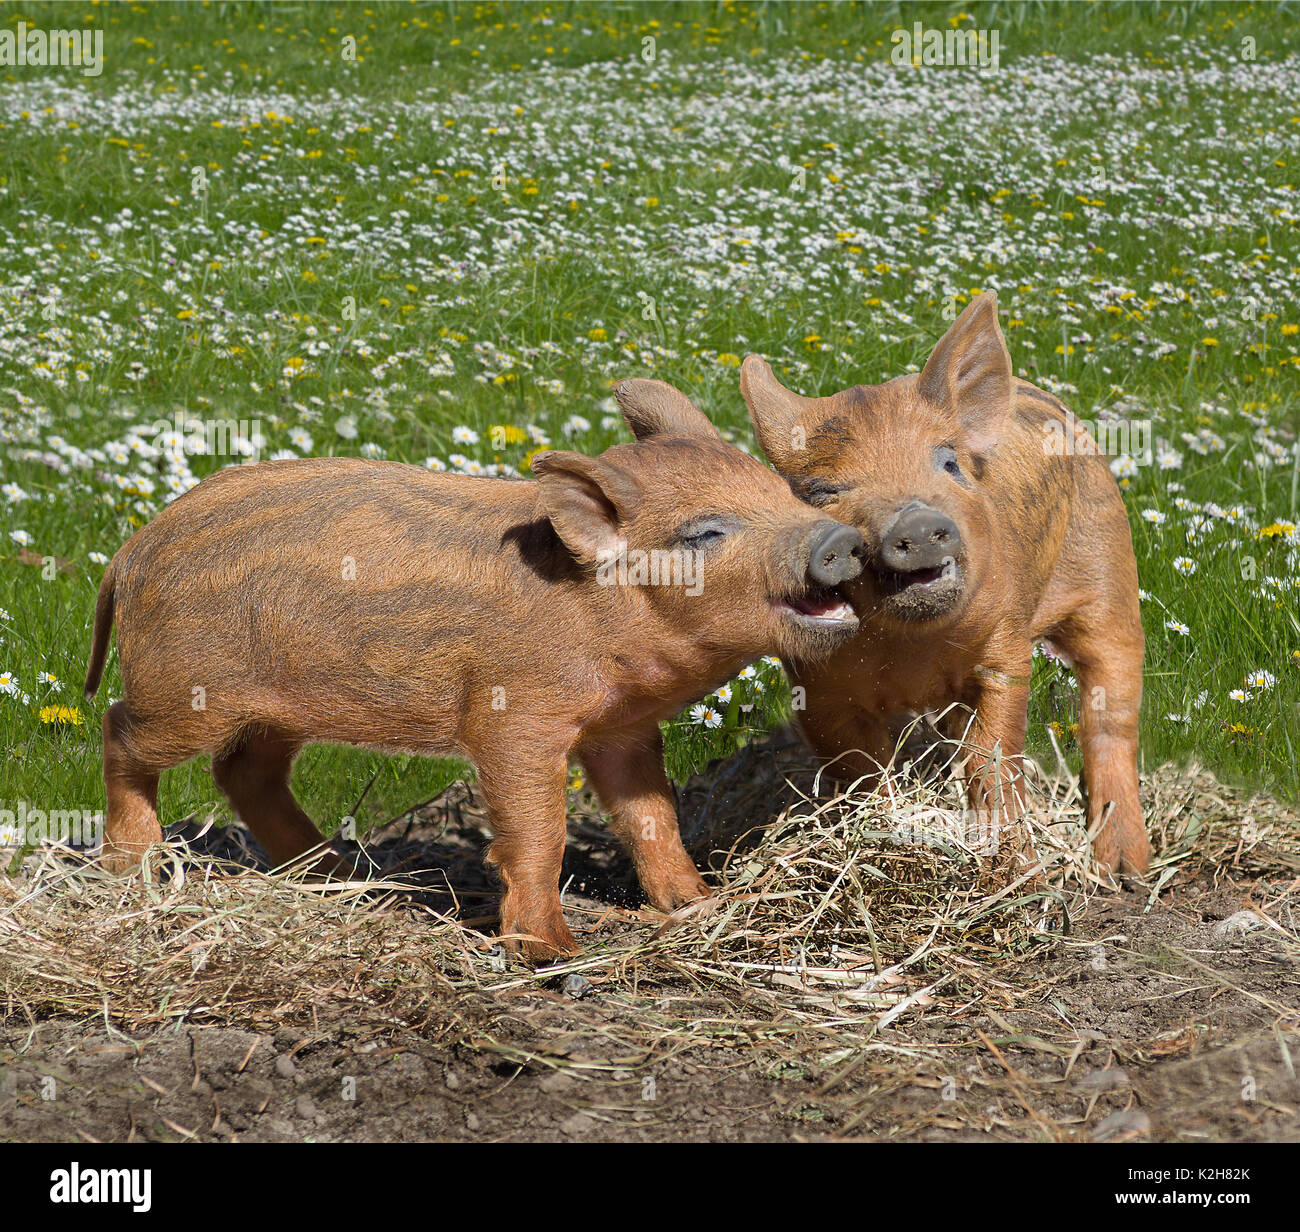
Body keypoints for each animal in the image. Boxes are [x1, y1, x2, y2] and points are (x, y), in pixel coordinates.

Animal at [84, 379, 865, 959]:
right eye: (705, 532)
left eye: (783, 493)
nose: (843, 540)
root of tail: (131, 550)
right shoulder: (513, 718)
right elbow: (539, 830)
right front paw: (551, 953)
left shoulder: (621, 728)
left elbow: (652, 816)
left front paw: (699, 905)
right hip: (184, 691)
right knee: (119, 729)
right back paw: (131, 869)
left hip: (272, 709)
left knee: (245, 772)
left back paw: (348, 878)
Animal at [739, 292, 1149, 874]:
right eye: (821, 492)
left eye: (949, 462)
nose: (914, 520)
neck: (913, 652)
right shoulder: (814, 687)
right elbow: (863, 770)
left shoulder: (1005, 649)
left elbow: (995, 752)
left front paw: (1013, 861)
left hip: (1109, 565)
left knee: (1111, 704)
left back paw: (1124, 870)